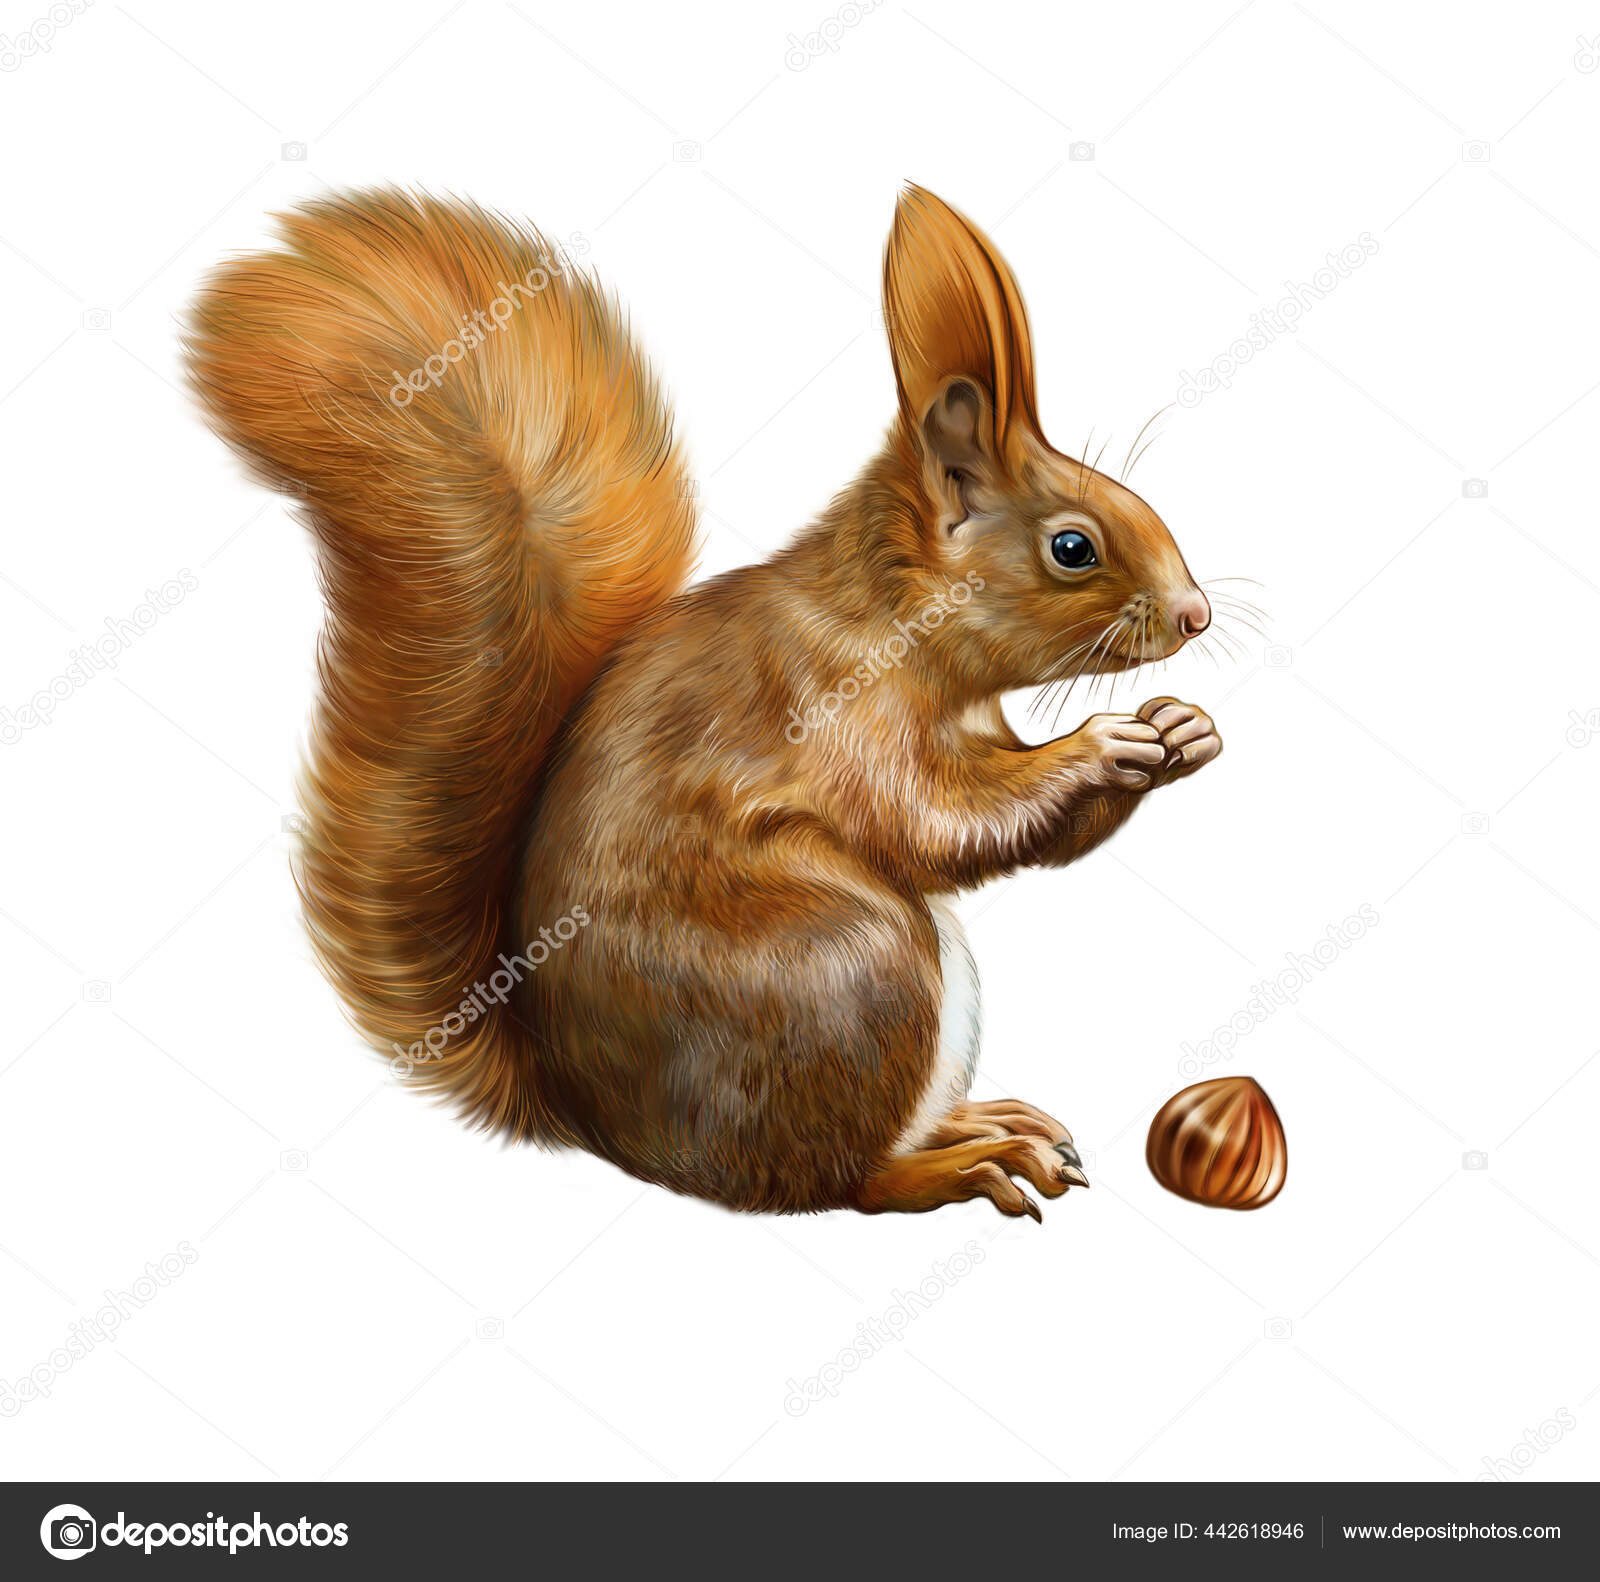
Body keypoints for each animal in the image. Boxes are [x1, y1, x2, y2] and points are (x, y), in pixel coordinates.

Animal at [185, 184, 1220, 1223]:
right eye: (1073, 548)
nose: (1196, 615)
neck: (895, 622)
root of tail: (589, 1118)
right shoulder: (832, 709)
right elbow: (938, 822)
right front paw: (1102, 744)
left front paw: (1183, 731)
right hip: (854, 966)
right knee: (840, 1182)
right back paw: (961, 1164)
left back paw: (978, 1124)